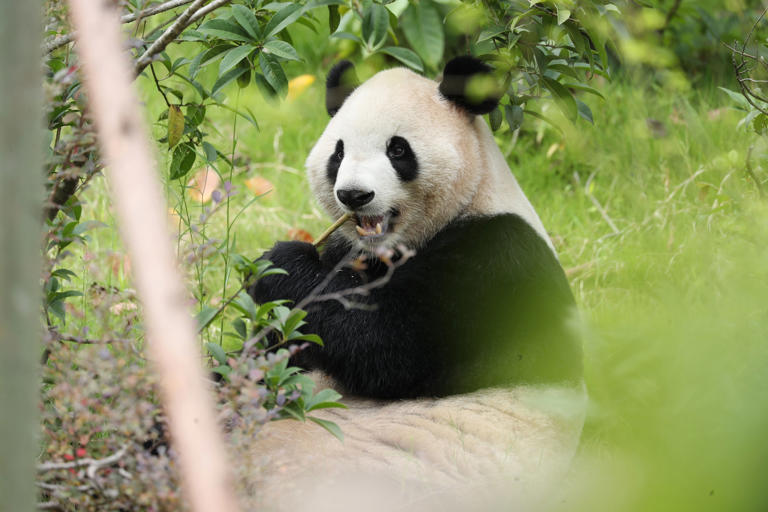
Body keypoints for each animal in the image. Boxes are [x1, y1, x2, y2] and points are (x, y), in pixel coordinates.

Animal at [241, 57, 586, 511]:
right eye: (338, 151)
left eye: (398, 149)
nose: (354, 195)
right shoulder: (350, 249)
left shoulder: (498, 259)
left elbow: (385, 343)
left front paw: (279, 265)